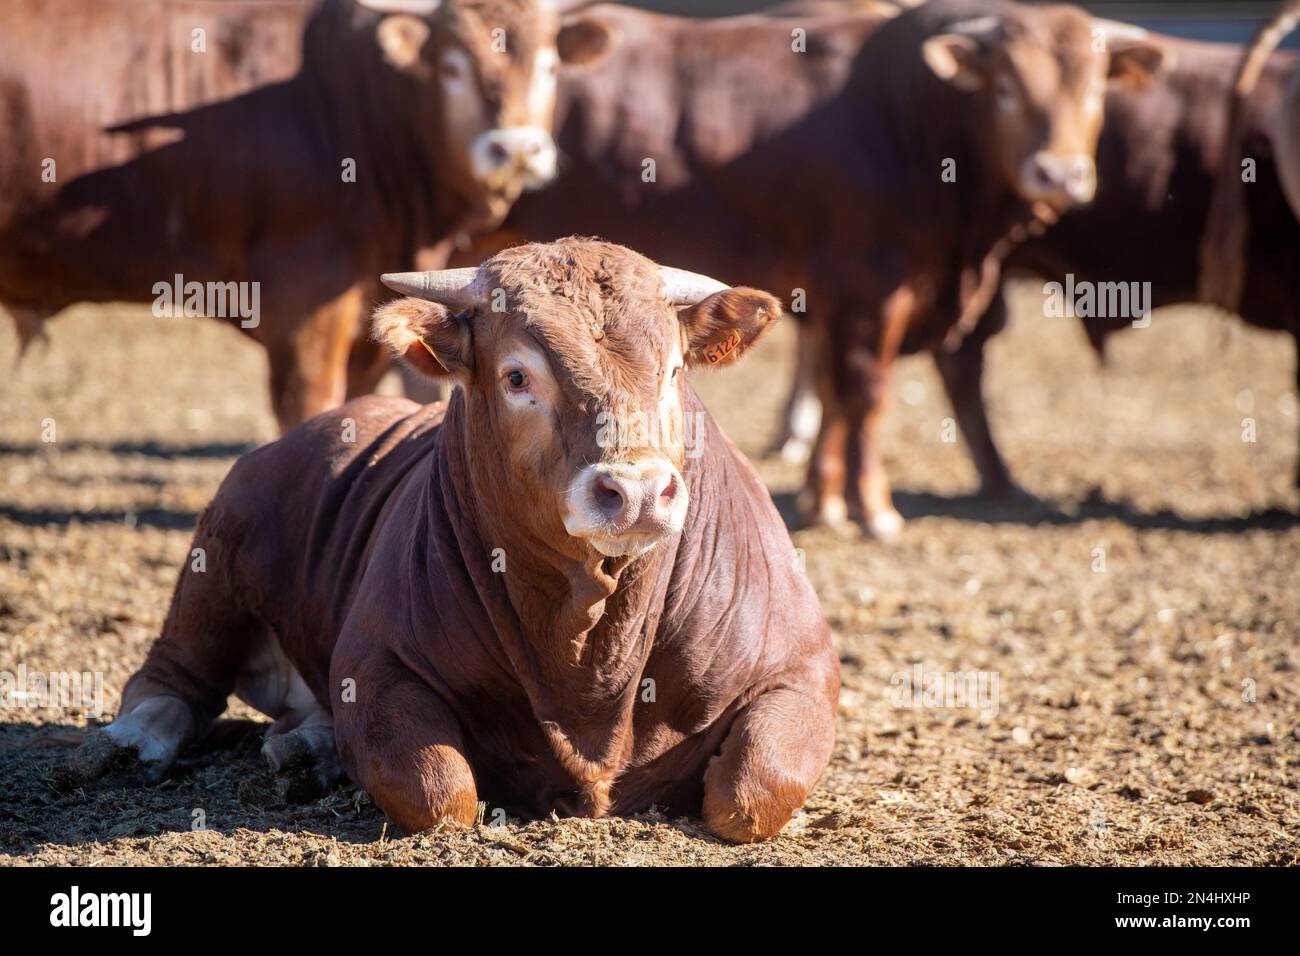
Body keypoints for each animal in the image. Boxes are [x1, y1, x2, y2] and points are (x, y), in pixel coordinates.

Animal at [63, 238, 840, 843]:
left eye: (674, 370)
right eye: (518, 376)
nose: (640, 491)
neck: (590, 641)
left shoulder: (802, 667)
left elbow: (749, 791)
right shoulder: (377, 664)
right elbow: (441, 792)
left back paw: (309, 746)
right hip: (218, 560)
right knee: (170, 679)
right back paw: (132, 744)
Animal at [452, 0, 1166, 538]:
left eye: (1094, 86)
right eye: (1007, 86)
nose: (1061, 173)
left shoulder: (827, 295)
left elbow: (829, 391)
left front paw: (824, 497)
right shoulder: (870, 286)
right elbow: (865, 396)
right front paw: (873, 509)